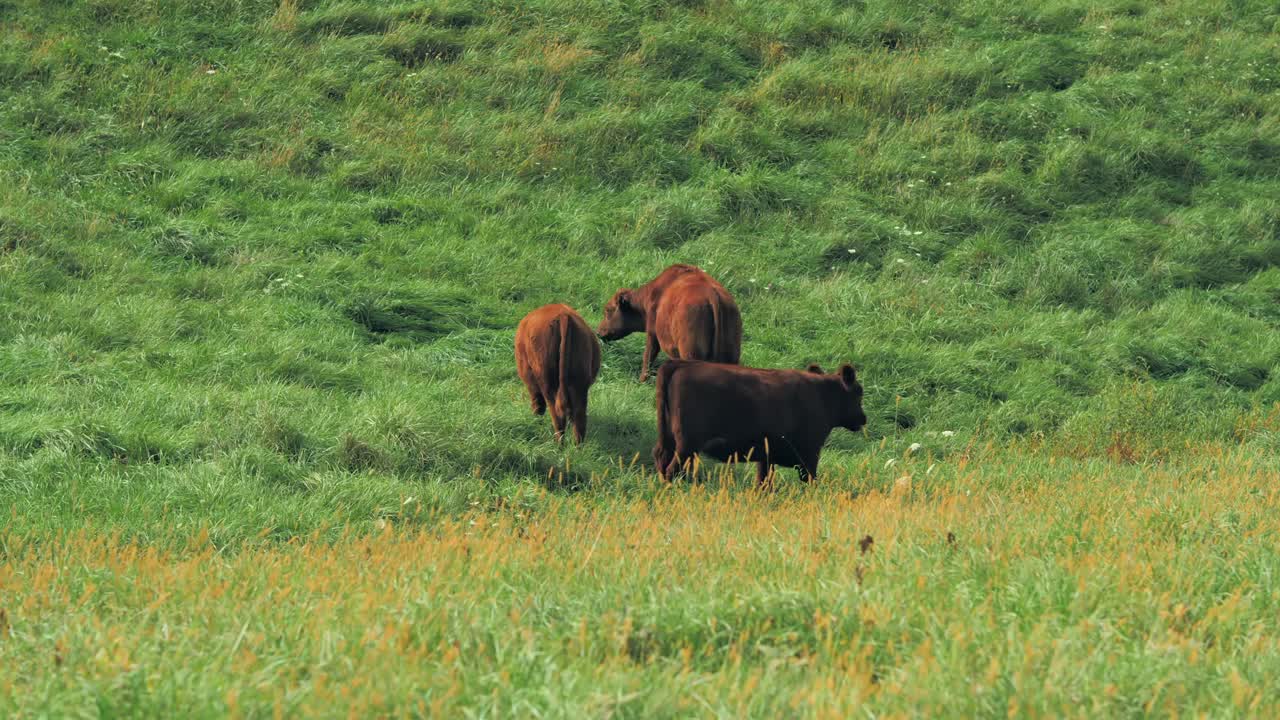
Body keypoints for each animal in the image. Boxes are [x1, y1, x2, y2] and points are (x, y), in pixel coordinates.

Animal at [515, 304, 602, 445]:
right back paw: (577, 447)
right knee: (579, 417)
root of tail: (563, 316)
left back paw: (558, 445)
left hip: (548, 384)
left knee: (555, 414)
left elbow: (538, 405)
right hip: (579, 385)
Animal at [596, 264, 742, 382]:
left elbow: (648, 357)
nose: (598, 332)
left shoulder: (652, 334)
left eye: (608, 310)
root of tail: (712, 295)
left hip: (690, 354)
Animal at [653, 360, 867, 487]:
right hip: (686, 446)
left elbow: (764, 483)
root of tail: (680, 364)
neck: (822, 394)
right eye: (858, 392)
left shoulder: (766, 457)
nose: (863, 418)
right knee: (672, 470)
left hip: (671, 442)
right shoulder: (809, 454)